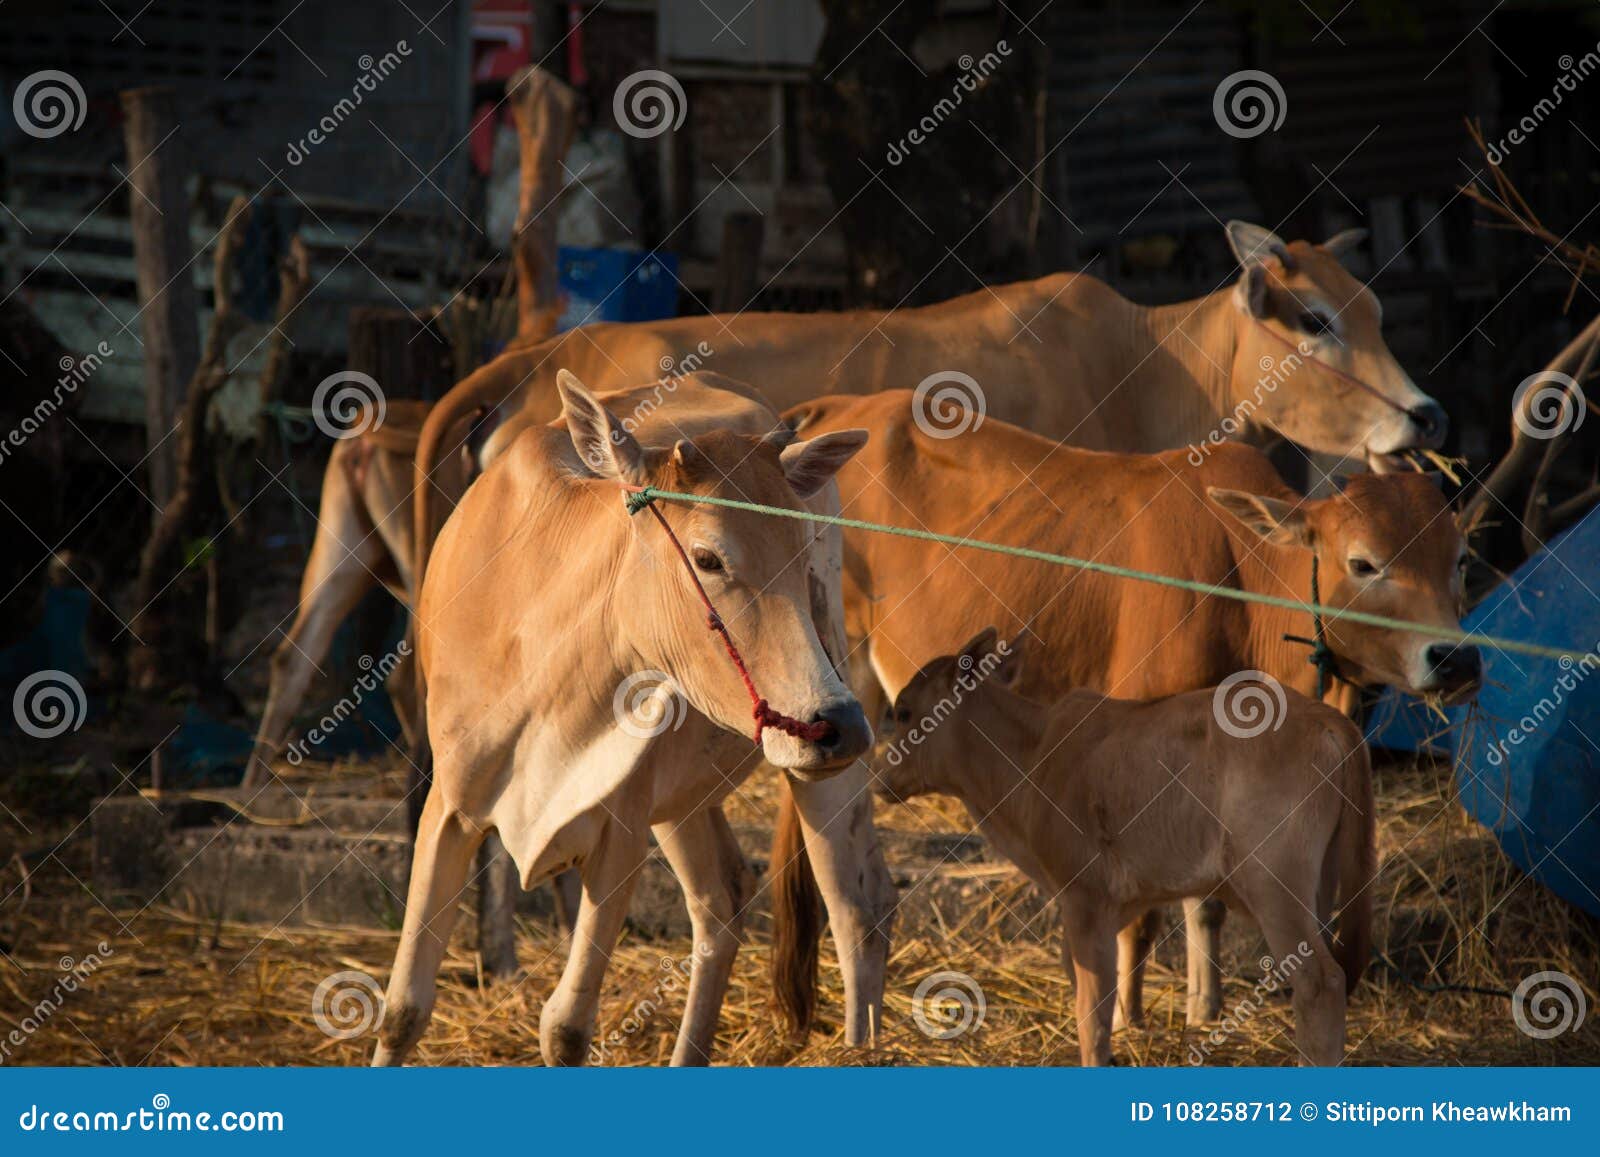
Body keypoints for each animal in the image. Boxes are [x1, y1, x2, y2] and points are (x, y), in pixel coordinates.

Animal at [372, 371, 896, 1067]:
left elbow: (565, 1027)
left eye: (802, 552)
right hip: (682, 801)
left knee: (855, 910)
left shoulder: (619, 831)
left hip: (813, 757)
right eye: (708, 558)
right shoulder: (450, 809)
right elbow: (402, 1009)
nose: (839, 724)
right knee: (722, 899)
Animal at [876, 630, 1374, 1067]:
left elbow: (1091, 1011)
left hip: (1274, 886)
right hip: (1321, 882)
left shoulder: (1084, 899)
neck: (1032, 756)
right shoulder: (1117, 902)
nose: (881, 777)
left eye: (903, 712)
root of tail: (1328, 720)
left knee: (1321, 983)